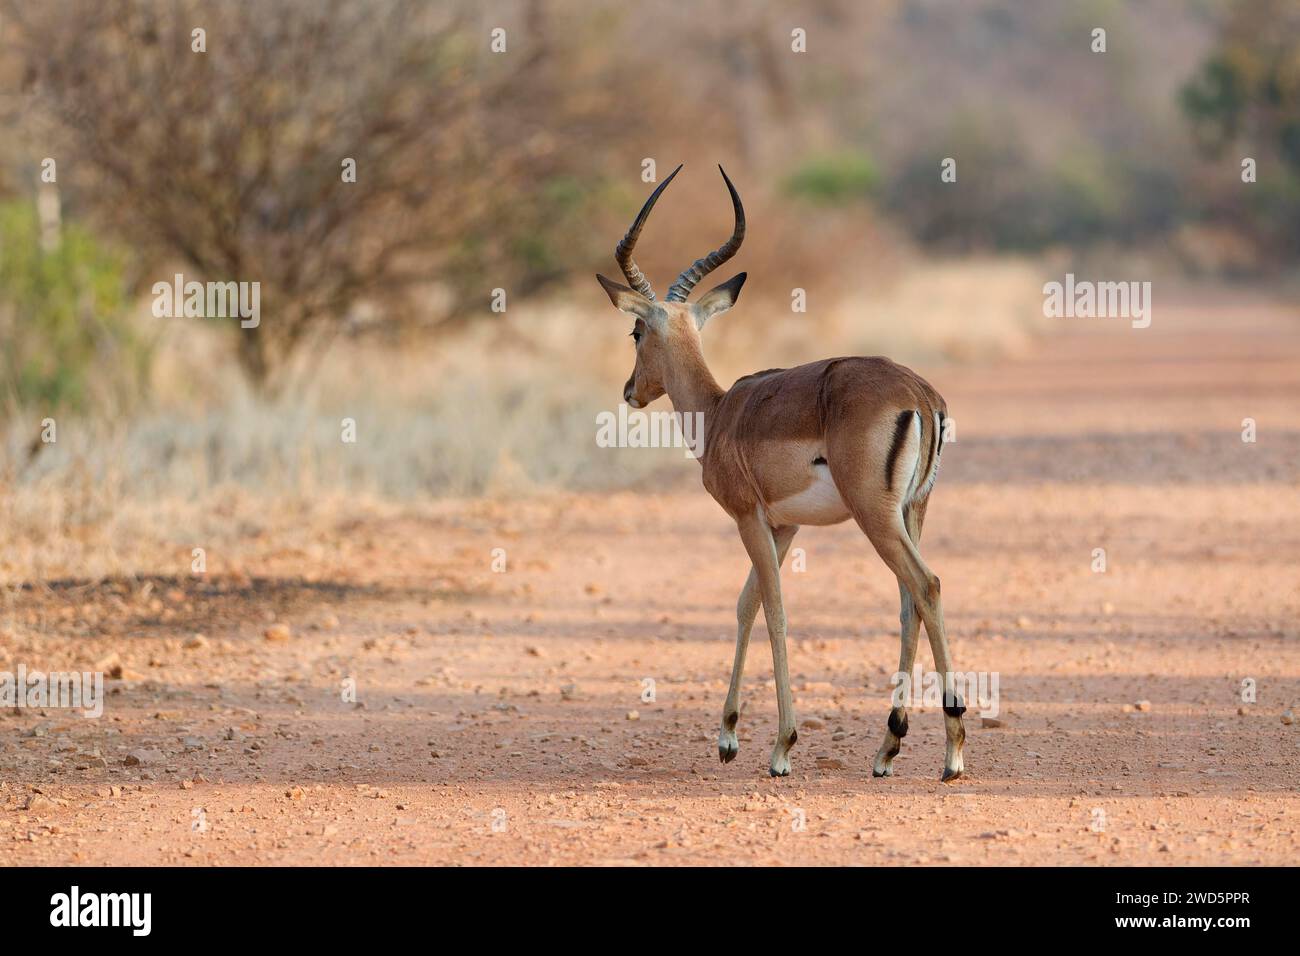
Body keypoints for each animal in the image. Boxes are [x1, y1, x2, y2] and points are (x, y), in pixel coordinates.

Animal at [596, 164, 967, 780]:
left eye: (635, 332)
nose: (630, 390)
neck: (719, 411)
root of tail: (920, 395)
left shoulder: (748, 517)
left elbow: (773, 610)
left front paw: (781, 747)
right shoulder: (783, 524)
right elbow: (746, 604)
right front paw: (727, 736)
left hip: (875, 516)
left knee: (927, 585)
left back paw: (953, 753)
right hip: (914, 511)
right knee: (908, 602)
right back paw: (887, 749)